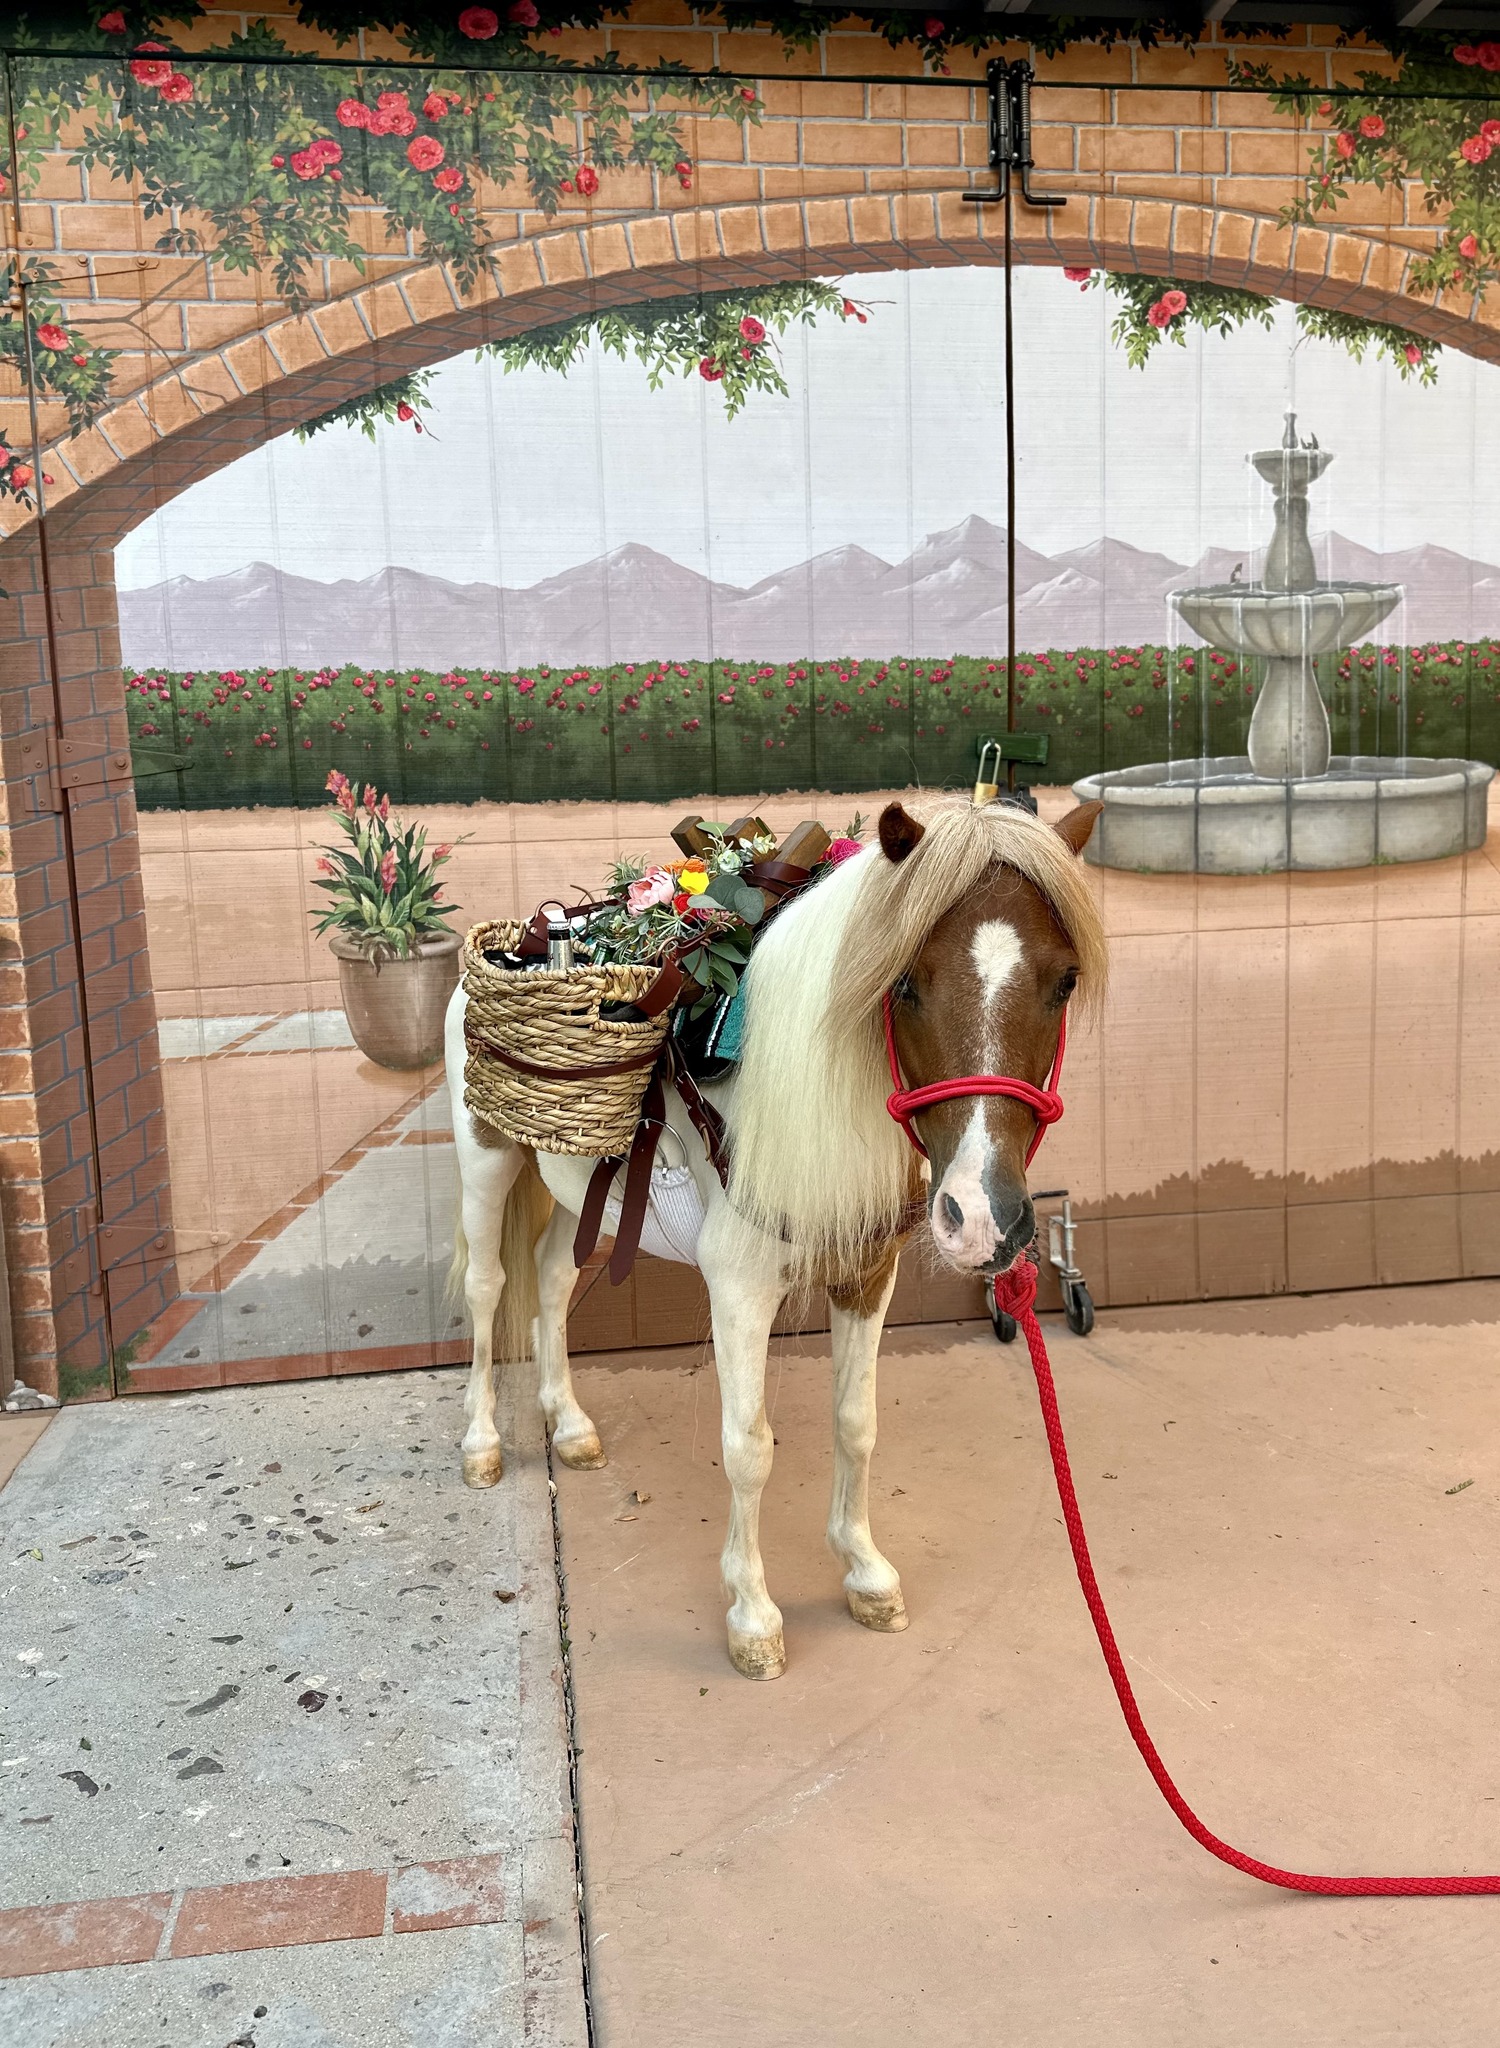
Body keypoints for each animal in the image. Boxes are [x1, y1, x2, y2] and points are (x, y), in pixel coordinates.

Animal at [445, 795, 1106, 1680]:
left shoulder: (866, 1275)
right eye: (903, 982)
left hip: (581, 1191)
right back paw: (481, 1443)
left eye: (1064, 981)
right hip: (487, 1162)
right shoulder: (740, 1291)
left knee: (551, 1281)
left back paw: (571, 1425)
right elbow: (748, 1449)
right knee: (489, 1292)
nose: (981, 1215)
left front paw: (865, 1572)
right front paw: (752, 1614)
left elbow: (856, 1423)